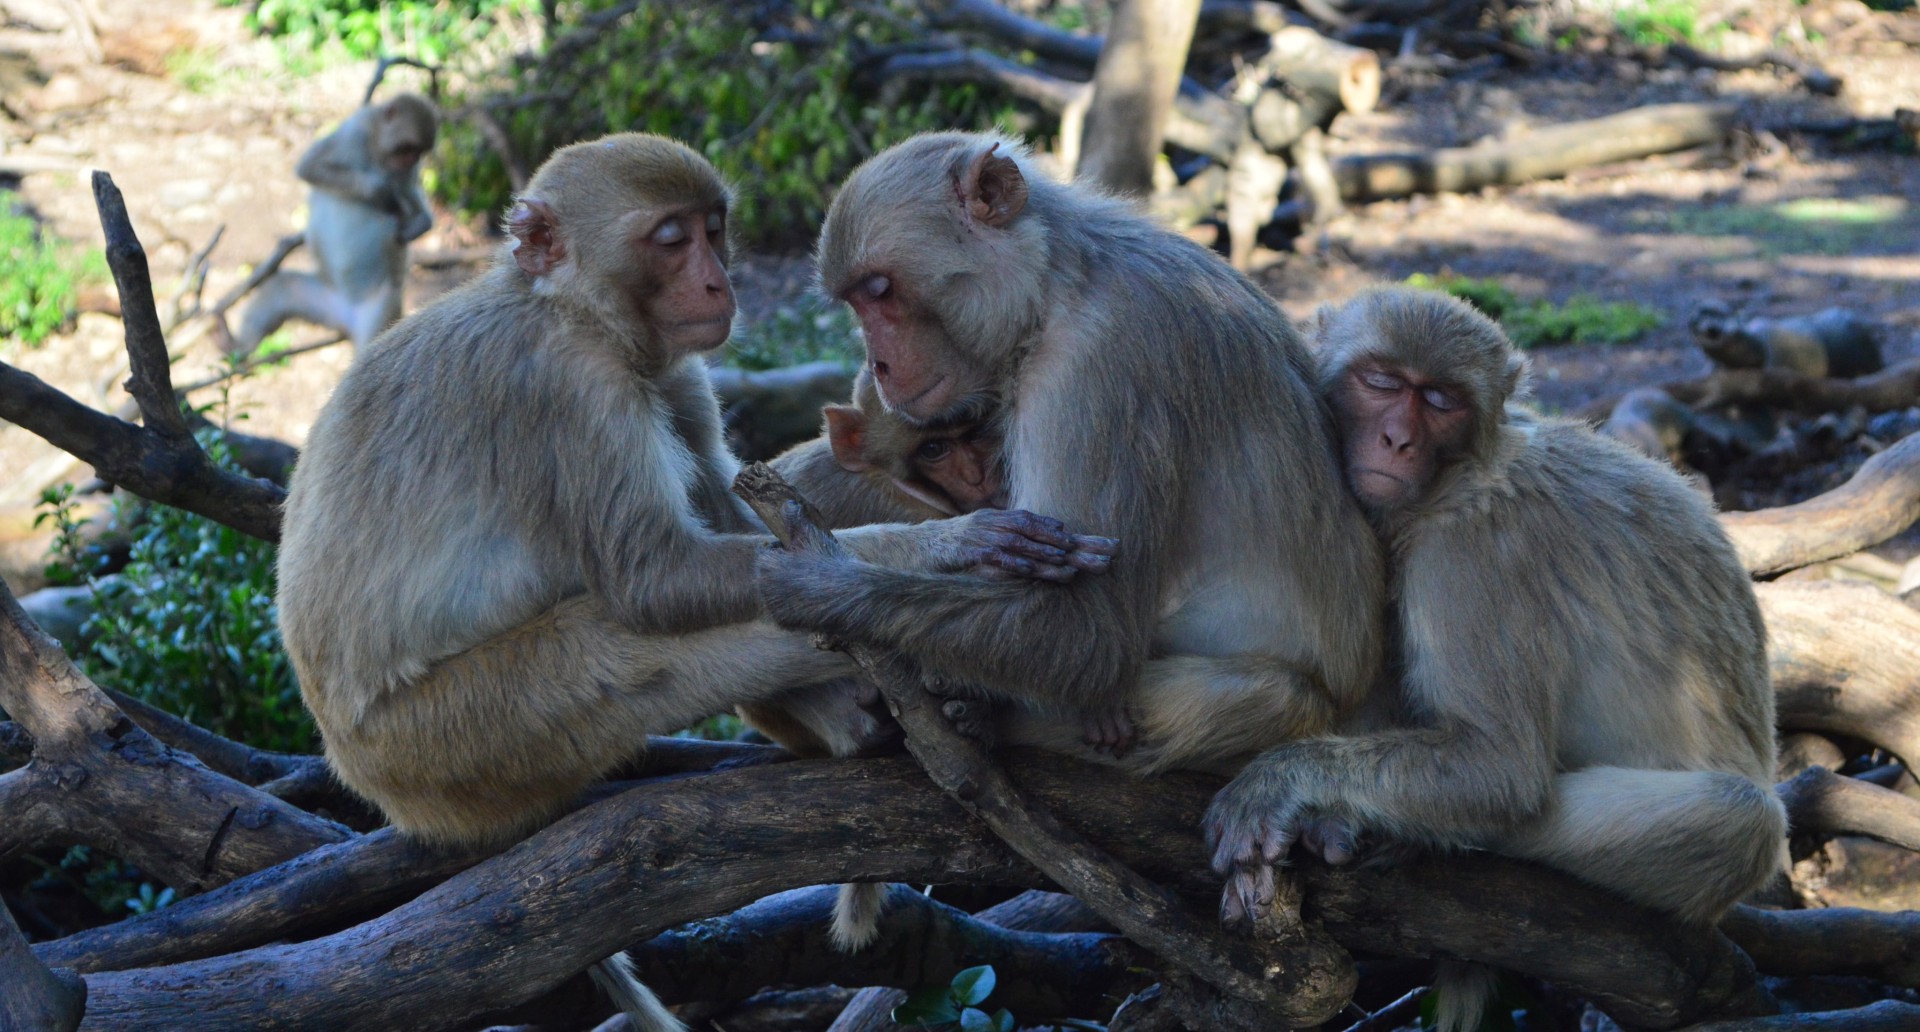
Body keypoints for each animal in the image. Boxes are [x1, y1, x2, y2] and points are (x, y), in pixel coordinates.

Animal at [232, 93, 440, 355]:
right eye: (407, 148)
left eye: (419, 153)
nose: (410, 160)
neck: (377, 148)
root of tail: (346, 317)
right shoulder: (353, 134)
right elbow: (311, 167)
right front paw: (376, 190)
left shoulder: (407, 173)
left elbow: (411, 195)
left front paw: (417, 224)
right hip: (323, 299)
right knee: (283, 286)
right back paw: (239, 345)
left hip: (379, 306)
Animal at [276, 133, 1111, 1032]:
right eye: (670, 240)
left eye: (714, 230)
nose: (719, 284)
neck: (572, 310)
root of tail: (359, 768)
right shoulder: (574, 383)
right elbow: (654, 580)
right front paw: (953, 545)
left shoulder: (675, 373)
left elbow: (735, 514)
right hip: (448, 740)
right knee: (632, 653)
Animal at [1204, 287, 1787, 1032]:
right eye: (1383, 382)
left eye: (1441, 400)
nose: (1398, 440)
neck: (1452, 480)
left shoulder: (1472, 556)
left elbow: (1500, 768)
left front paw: (1282, 781)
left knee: (1744, 818)